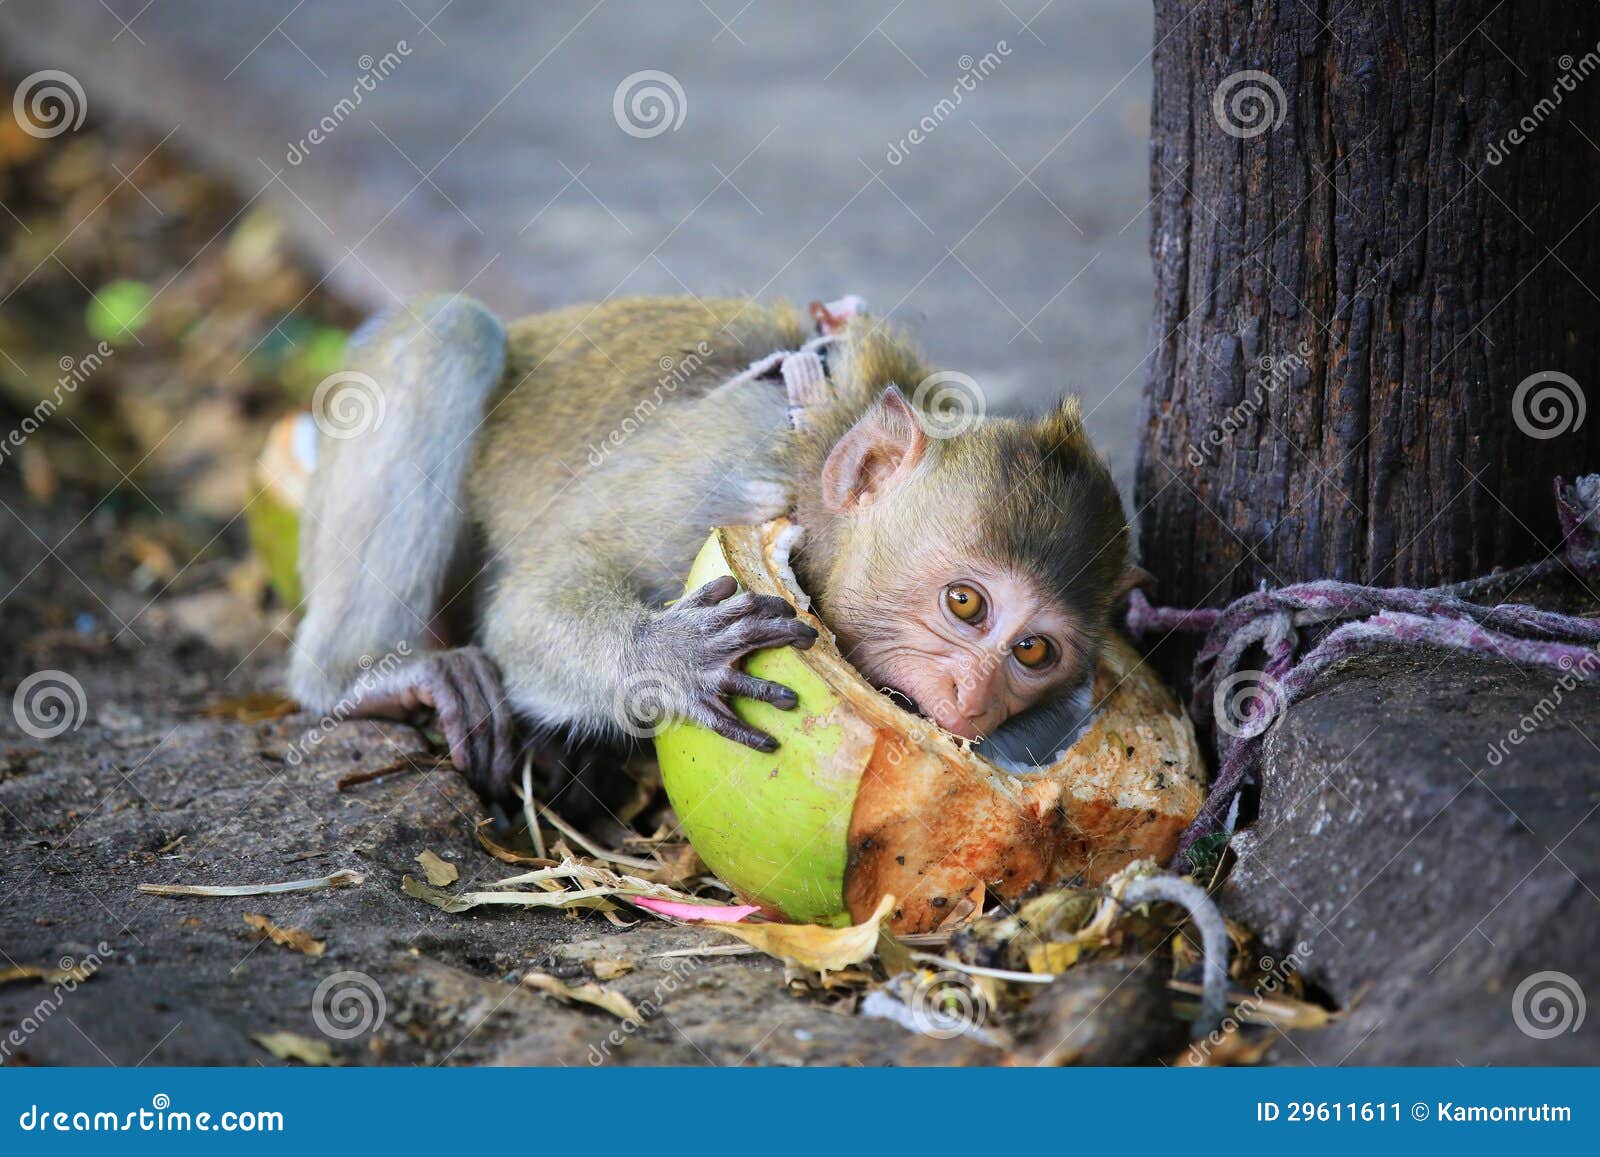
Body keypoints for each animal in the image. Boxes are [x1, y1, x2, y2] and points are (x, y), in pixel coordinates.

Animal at [288, 294, 1130, 811]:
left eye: (1033, 651)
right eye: (965, 603)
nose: (972, 696)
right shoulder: (726, 471)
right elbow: (535, 600)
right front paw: (667, 655)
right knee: (451, 330)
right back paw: (361, 671)